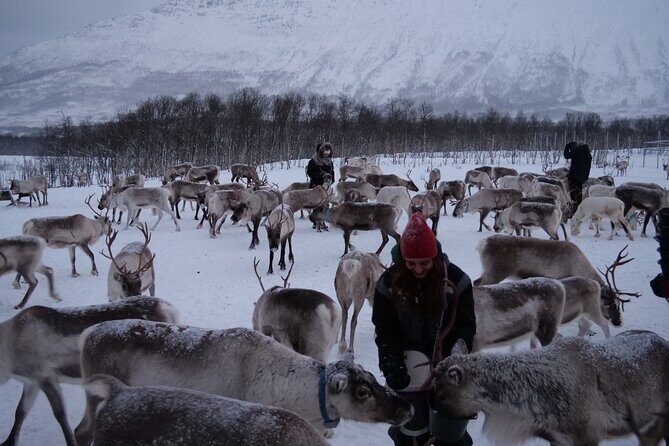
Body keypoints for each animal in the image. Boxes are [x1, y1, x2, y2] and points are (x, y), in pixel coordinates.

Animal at [0, 297, 179, 446]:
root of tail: (169, 309)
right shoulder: (30, 381)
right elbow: (20, 412)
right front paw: (9, 441)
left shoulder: (45, 377)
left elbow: (60, 415)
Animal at [475, 235, 641, 329]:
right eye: (610, 304)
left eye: (619, 304)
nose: (619, 323)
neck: (576, 265)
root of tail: (482, 243)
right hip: (495, 273)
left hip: (487, 272)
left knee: (476, 283)